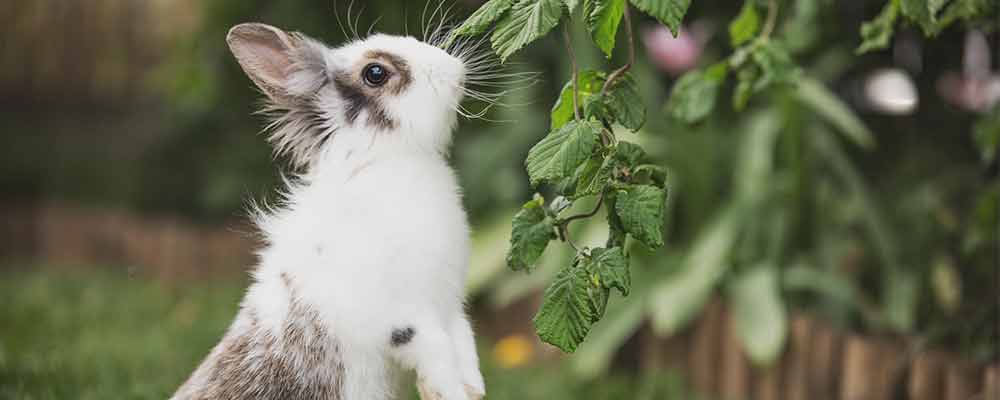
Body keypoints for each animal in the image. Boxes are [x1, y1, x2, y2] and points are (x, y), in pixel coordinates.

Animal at [171, 22, 488, 400]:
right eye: (375, 73)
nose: (454, 69)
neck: (386, 159)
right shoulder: (408, 317)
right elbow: (437, 355)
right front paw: (451, 392)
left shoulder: (450, 306)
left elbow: (463, 342)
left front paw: (474, 389)